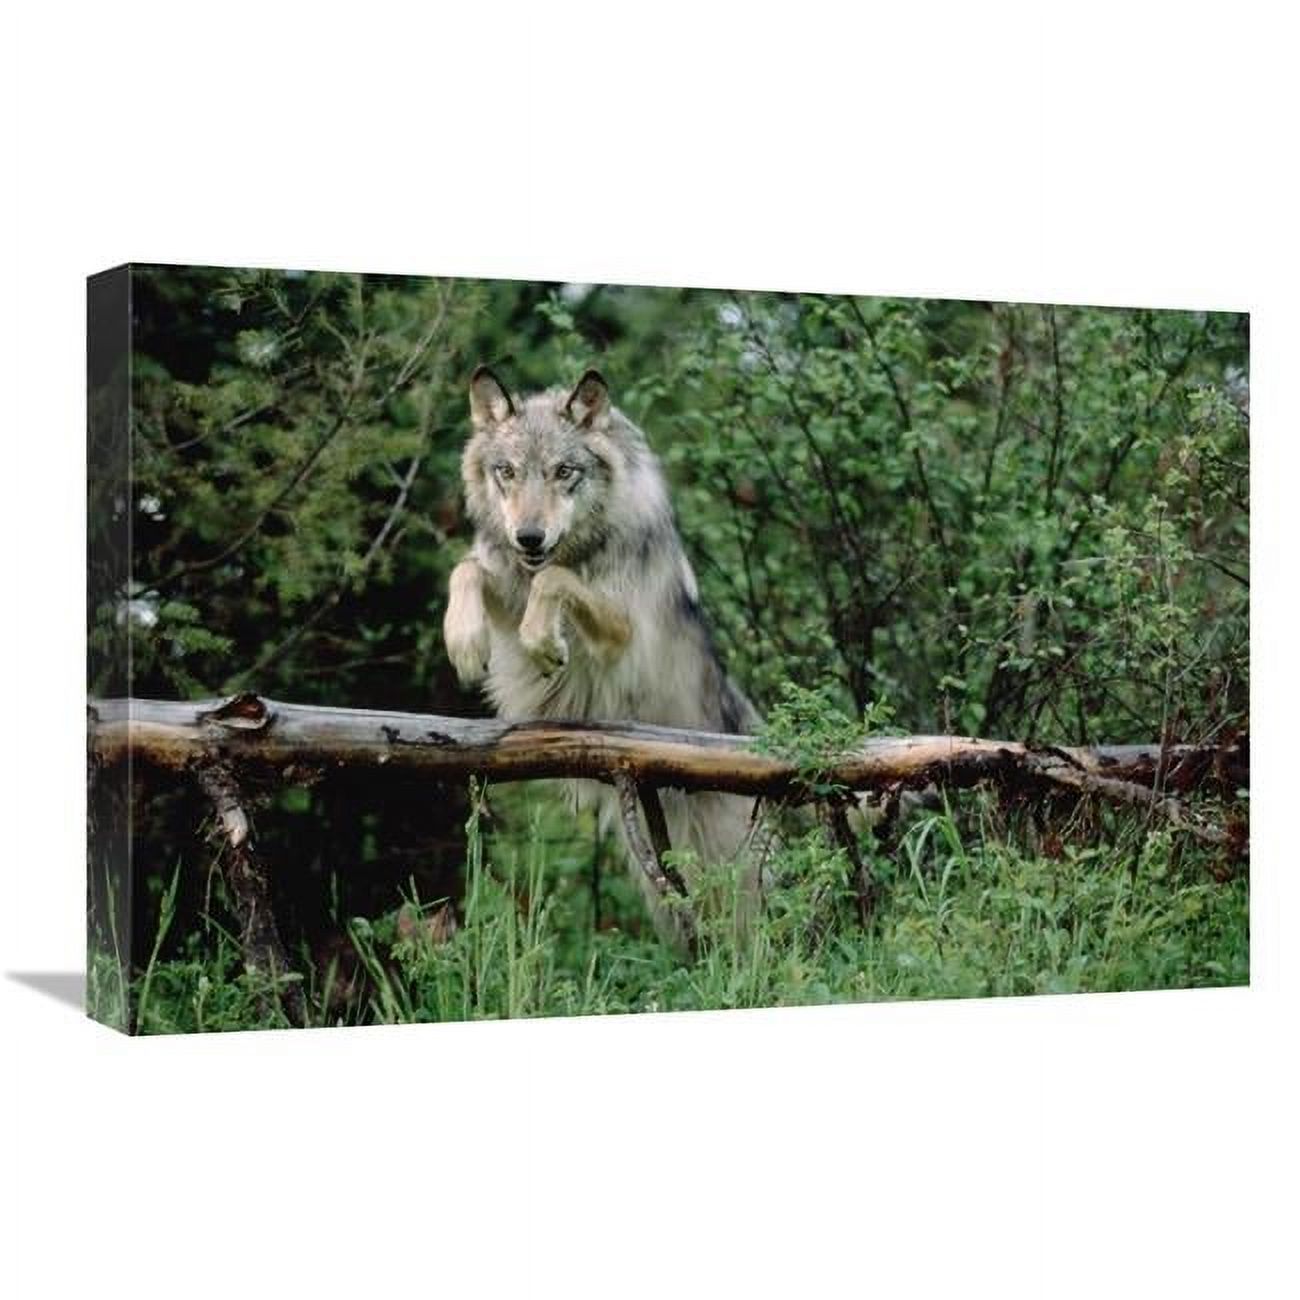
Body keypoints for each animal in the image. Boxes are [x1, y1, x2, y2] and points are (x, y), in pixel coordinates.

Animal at [443, 366, 764, 943]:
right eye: (507, 472)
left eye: (563, 471)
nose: (528, 537)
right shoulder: (506, 588)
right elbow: (469, 568)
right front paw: (463, 639)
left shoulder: (620, 633)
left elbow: (553, 579)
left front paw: (545, 639)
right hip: (663, 879)